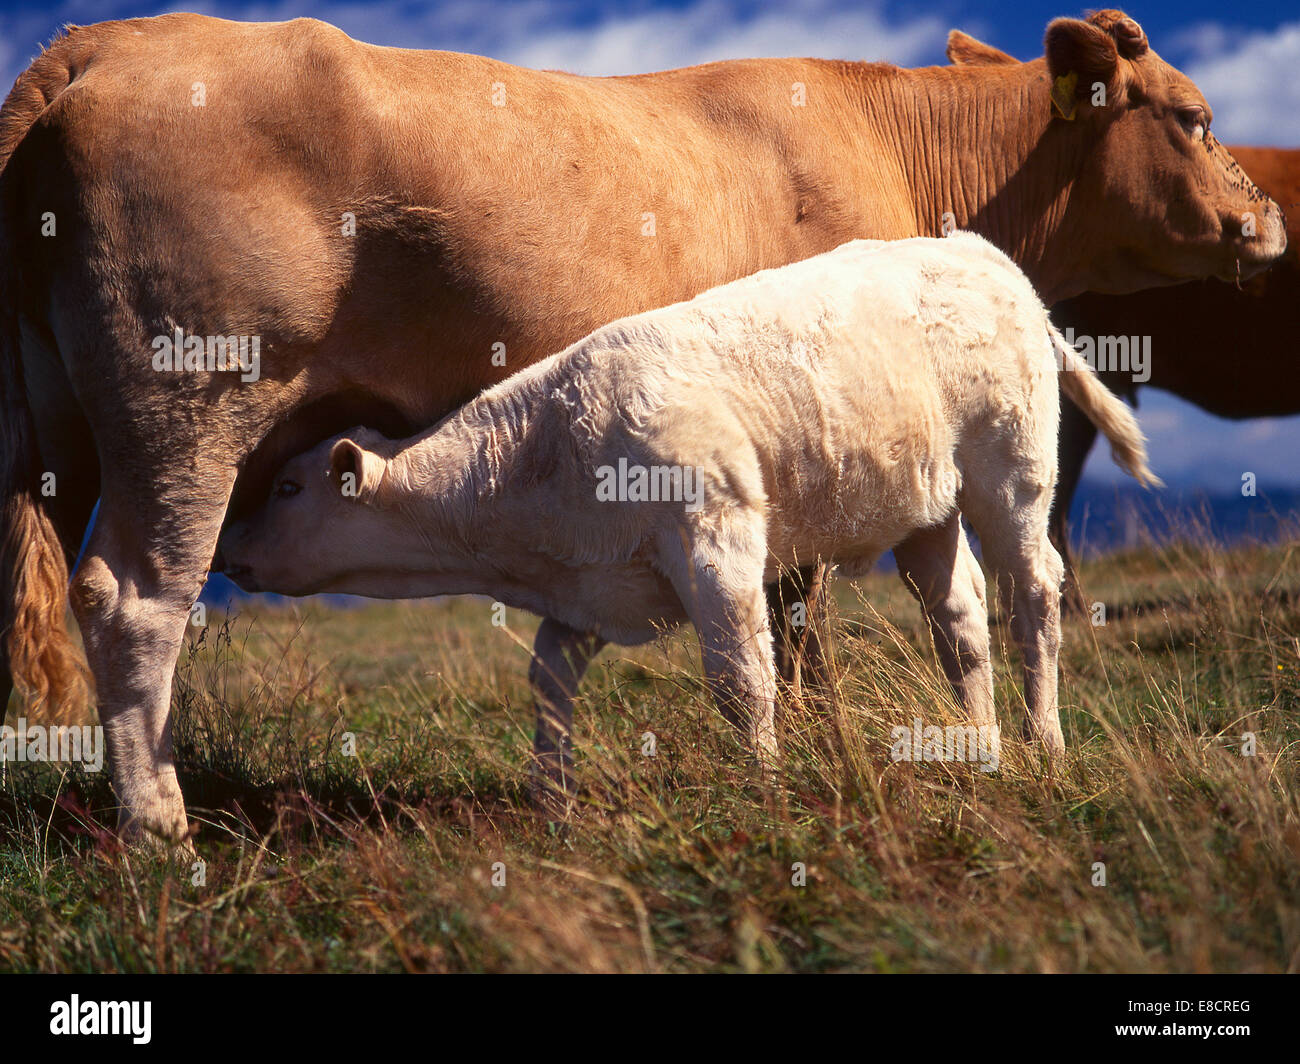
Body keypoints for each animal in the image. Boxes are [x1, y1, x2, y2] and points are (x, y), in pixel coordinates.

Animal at [218, 234, 1159, 804]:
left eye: (290, 488)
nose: (227, 548)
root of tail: (977, 252)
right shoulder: (591, 590)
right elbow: (548, 686)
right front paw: (550, 802)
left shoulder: (717, 542)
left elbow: (742, 680)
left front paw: (766, 791)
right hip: (924, 507)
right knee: (958, 619)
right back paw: (980, 747)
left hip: (1013, 475)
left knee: (1033, 598)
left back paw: (1044, 743)